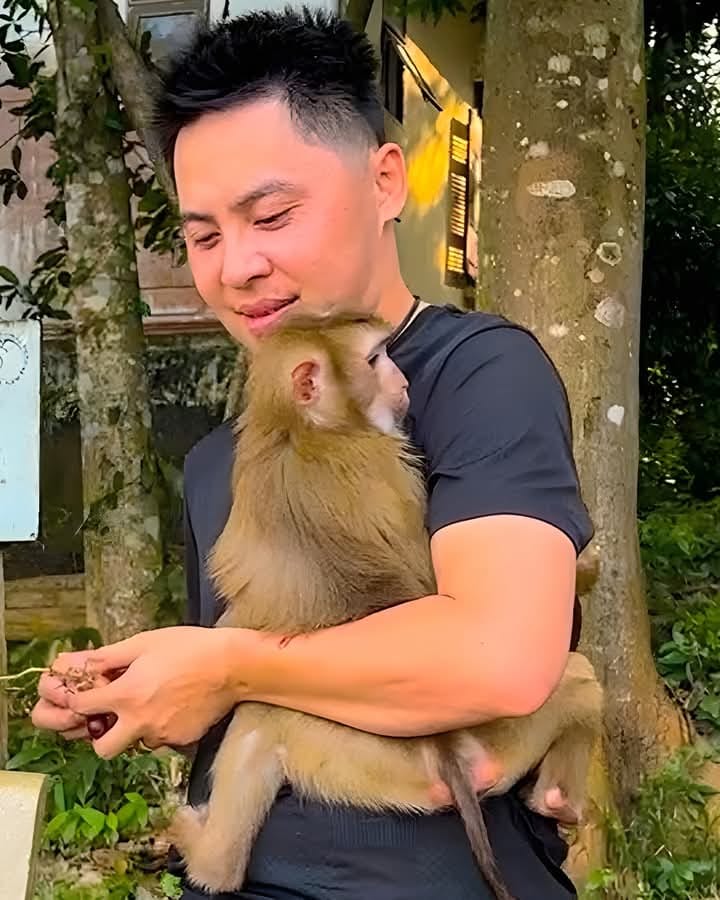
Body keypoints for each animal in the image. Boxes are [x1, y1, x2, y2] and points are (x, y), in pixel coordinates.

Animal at [169, 312, 604, 900]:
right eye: (376, 358)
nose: (401, 379)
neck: (301, 427)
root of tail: (445, 746)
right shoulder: (388, 455)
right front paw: (586, 567)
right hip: (370, 750)